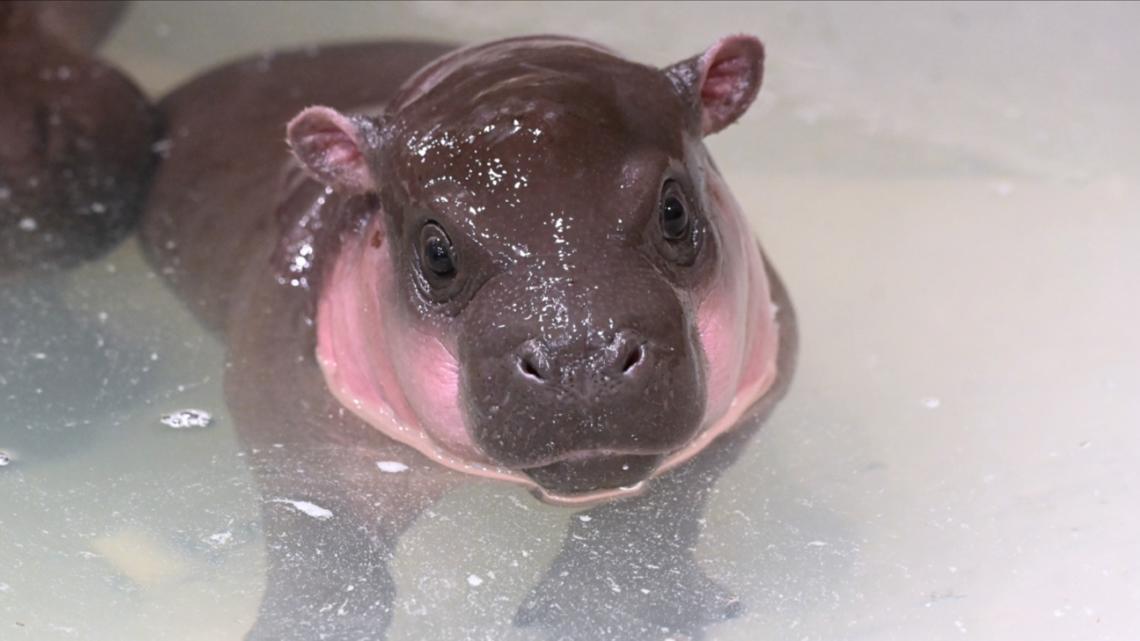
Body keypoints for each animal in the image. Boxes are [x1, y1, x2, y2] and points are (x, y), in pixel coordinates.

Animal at [141, 35, 796, 640]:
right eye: (437, 252)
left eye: (674, 210)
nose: (580, 358)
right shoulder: (303, 448)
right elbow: (325, 559)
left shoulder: (747, 402)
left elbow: (655, 514)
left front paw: (613, 610)